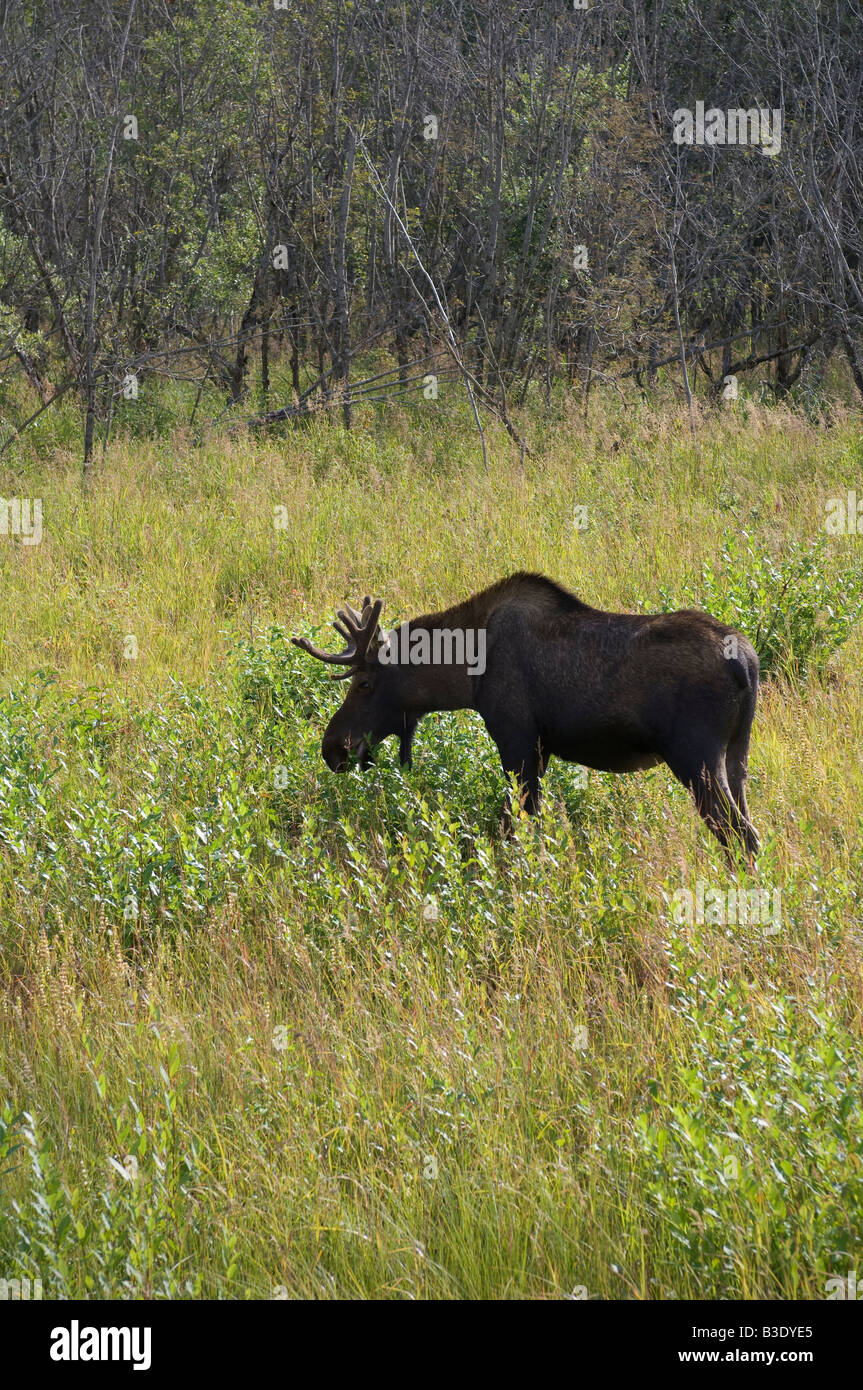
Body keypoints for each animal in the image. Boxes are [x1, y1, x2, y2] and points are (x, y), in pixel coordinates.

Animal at [292, 573, 760, 862]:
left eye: (365, 684)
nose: (332, 747)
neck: (466, 675)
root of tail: (747, 663)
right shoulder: (541, 748)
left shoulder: (516, 739)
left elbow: (514, 826)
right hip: (736, 758)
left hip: (695, 758)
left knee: (740, 836)